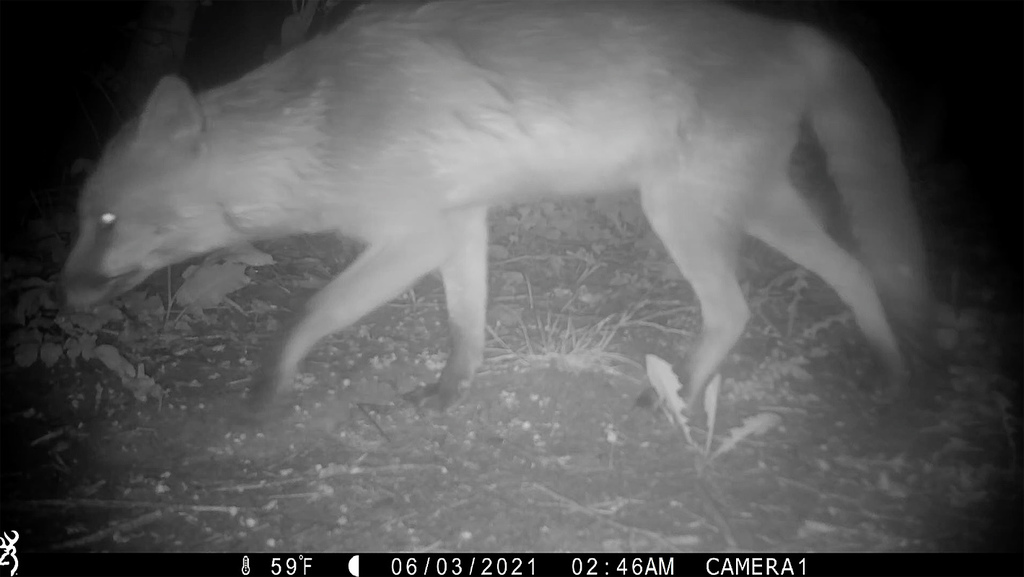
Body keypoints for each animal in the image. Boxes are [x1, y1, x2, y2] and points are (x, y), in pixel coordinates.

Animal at [61, 0, 931, 414]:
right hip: (753, 205)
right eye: (82, 218)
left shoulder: (412, 234)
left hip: (680, 208)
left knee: (736, 309)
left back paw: (671, 393)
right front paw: (448, 394)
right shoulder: (460, 222)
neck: (324, 125)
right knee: (856, 272)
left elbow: (308, 313)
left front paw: (266, 392)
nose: (67, 288)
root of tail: (791, 32)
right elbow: (465, 327)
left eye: (104, 220)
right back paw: (890, 374)